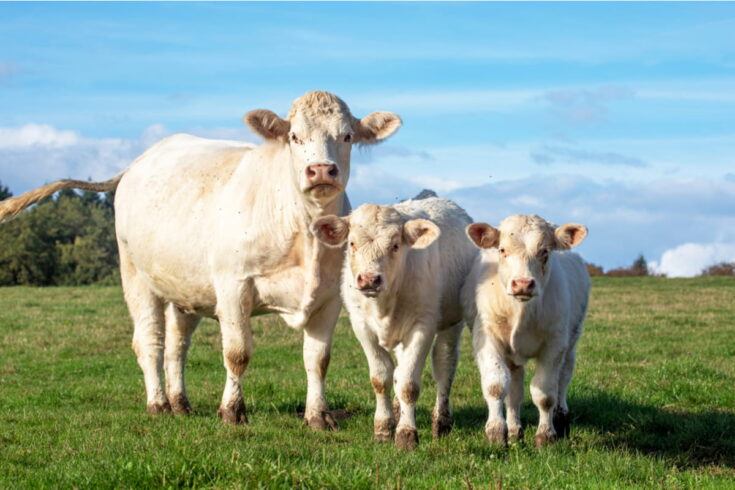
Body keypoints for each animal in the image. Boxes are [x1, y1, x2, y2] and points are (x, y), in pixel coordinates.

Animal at [0, 91, 402, 429]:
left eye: (346, 137)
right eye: (294, 137)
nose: (320, 170)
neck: (302, 231)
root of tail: (139, 162)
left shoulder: (329, 298)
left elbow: (317, 359)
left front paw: (318, 417)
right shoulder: (233, 286)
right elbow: (237, 353)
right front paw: (232, 412)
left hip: (184, 289)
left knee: (176, 347)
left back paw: (180, 403)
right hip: (135, 276)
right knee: (149, 342)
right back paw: (158, 404)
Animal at [311, 196, 478, 450]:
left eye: (395, 246)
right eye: (351, 243)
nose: (369, 279)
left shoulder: (423, 326)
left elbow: (409, 384)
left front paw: (406, 434)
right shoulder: (362, 326)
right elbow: (381, 378)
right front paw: (383, 428)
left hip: (451, 323)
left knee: (444, 366)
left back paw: (441, 422)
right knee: (399, 370)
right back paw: (399, 412)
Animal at [461, 214, 590, 447]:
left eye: (545, 251)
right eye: (502, 249)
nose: (522, 284)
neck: (521, 312)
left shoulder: (554, 344)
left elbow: (545, 393)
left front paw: (546, 435)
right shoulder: (486, 338)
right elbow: (496, 386)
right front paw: (497, 432)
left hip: (572, 340)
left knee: (563, 378)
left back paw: (561, 418)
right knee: (515, 391)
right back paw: (514, 430)